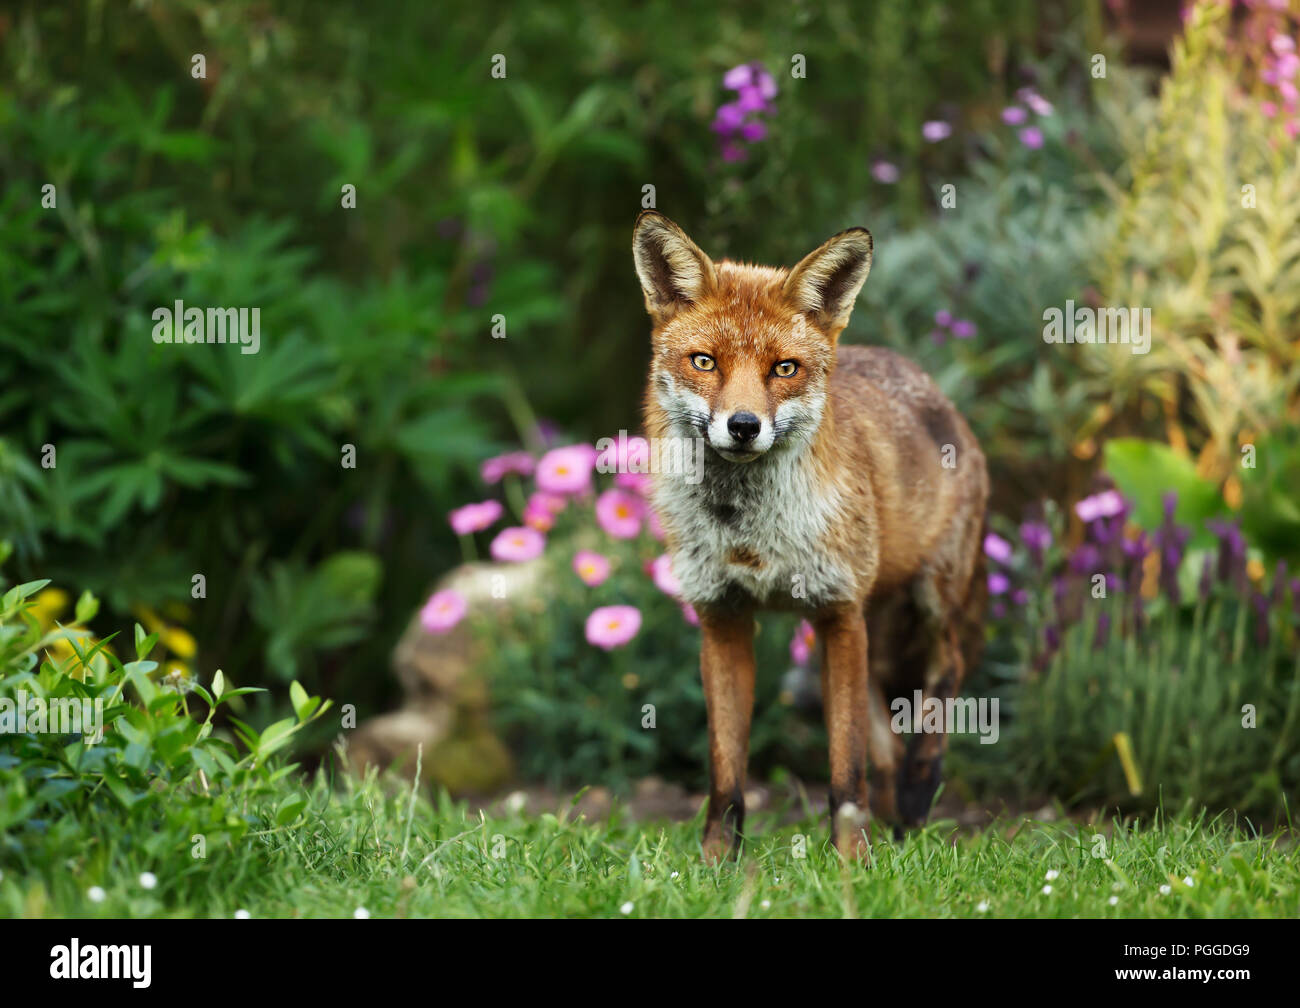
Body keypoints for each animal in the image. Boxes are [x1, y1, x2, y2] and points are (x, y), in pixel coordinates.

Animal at [633, 210, 989, 860]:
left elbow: (844, 773)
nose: (743, 426)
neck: (748, 531)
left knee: (945, 671)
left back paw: (918, 790)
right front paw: (714, 864)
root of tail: (931, 386)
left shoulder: (837, 611)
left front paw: (853, 863)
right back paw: (895, 811)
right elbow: (726, 776)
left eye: (784, 368)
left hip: (930, 598)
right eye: (705, 362)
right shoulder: (722, 618)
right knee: (882, 735)